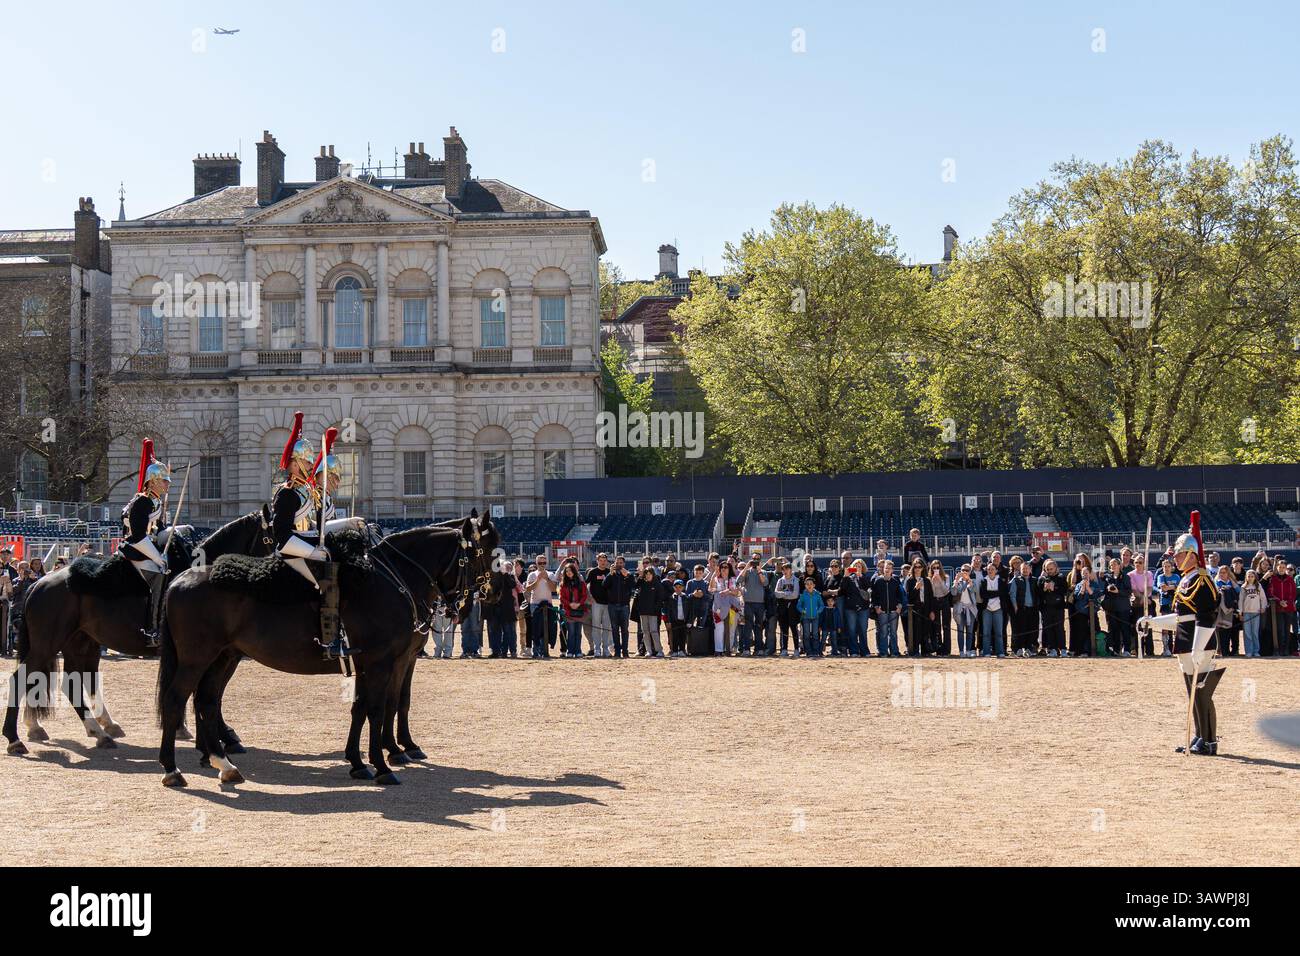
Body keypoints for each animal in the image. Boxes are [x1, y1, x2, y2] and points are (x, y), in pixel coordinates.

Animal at [3, 509, 275, 756]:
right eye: (269, 537)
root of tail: (41, 581)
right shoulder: (216, 654)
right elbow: (209, 694)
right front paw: (219, 737)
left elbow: (208, 693)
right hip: (47, 644)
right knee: (22, 679)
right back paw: (15, 739)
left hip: (81, 643)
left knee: (74, 682)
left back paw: (99, 731)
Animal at [155, 512, 499, 787]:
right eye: (485, 552)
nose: (491, 593)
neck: (394, 580)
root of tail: (179, 578)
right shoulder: (384, 662)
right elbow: (379, 708)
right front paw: (384, 763)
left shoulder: (379, 662)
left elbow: (366, 707)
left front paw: (361, 762)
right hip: (197, 659)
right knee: (176, 699)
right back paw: (172, 769)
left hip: (222, 657)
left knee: (206, 700)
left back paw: (222, 763)